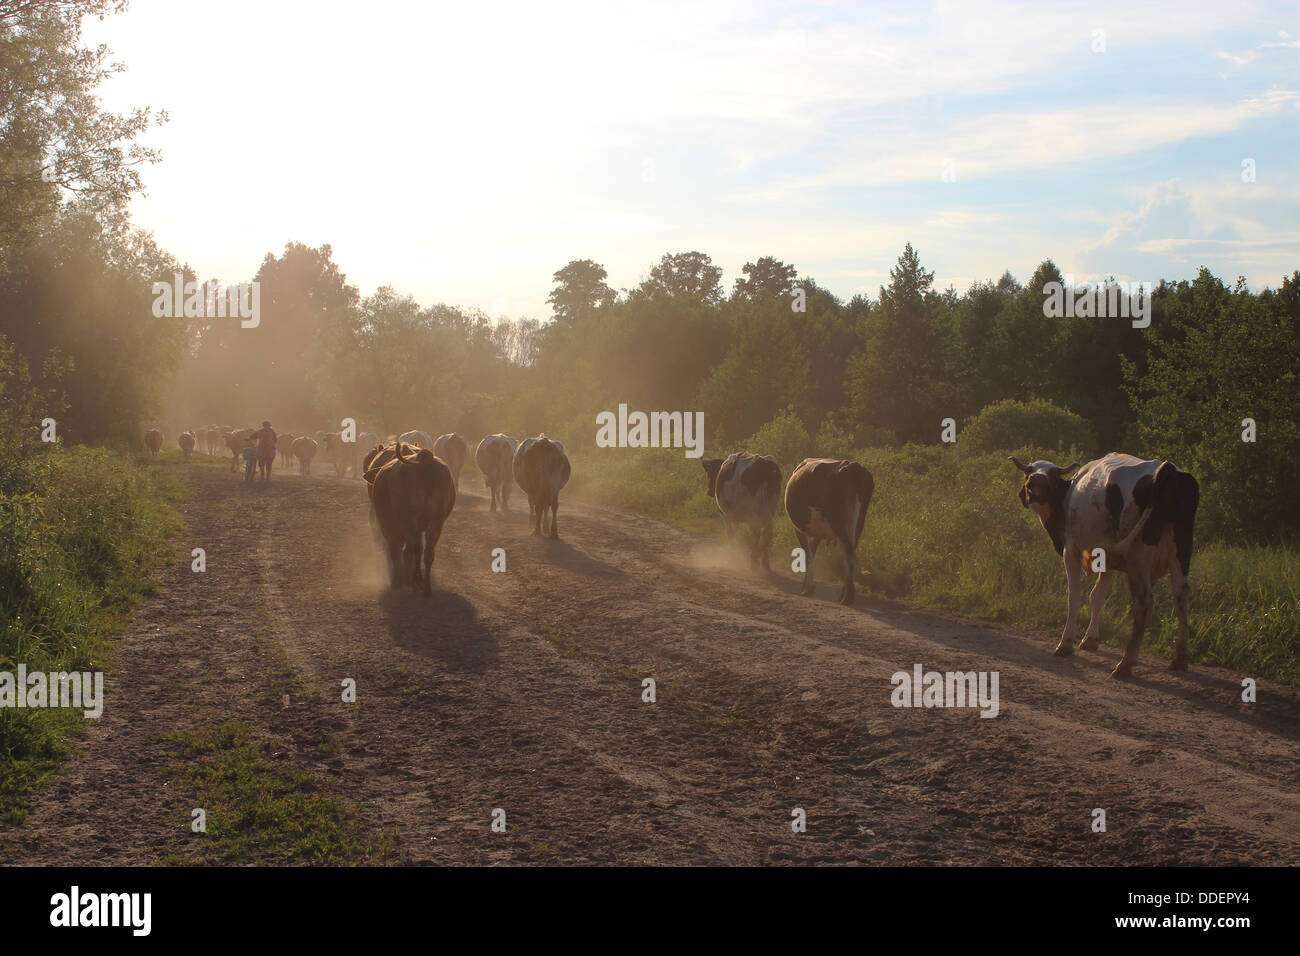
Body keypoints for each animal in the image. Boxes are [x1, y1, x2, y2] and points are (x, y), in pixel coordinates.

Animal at [362, 441, 456, 596]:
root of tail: (423, 458)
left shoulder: (389, 526)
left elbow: (394, 549)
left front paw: (398, 580)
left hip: (409, 520)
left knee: (410, 549)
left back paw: (411, 581)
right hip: (436, 521)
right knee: (427, 551)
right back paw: (425, 587)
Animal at [784, 458, 875, 605]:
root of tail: (852, 466)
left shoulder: (798, 529)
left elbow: (807, 554)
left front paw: (808, 588)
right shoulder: (817, 533)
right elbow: (812, 551)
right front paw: (806, 585)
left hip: (838, 521)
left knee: (849, 553)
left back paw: (848, 597)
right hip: (858, 522)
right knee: (851, 553)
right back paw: (845, 593)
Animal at [1010, 453, 1200, 678]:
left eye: (1053, 474)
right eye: (1029, 471)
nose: (1037, 480)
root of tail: (1168, 469)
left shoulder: (1070, 550)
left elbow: (1074, 596)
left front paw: (1066, 643)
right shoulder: (1108, 560)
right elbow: (1097, 596)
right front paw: (1091, 639)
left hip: (1138, 557)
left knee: (1144, 602)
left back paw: (1126, 663)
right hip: (1181, 552)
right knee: (1182, 596)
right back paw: (1180, 658)